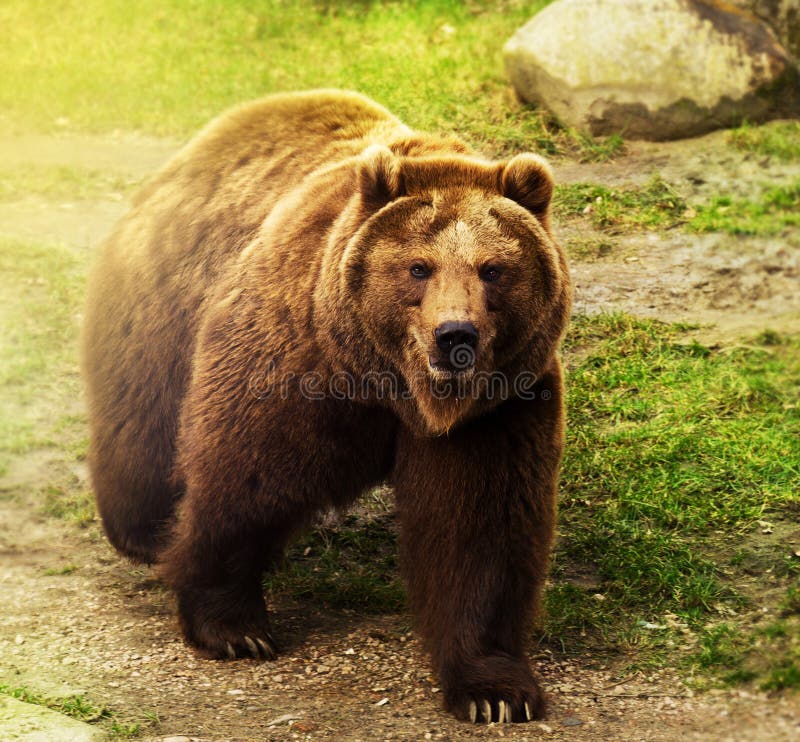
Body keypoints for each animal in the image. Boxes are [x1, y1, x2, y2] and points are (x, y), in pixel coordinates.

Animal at [81, 90, 571, 724]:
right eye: (418, 266)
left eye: (493, 269)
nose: (455, 335)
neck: (394, 388)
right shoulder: (297, 364)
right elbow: (245, 481)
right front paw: (234, 627)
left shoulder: (497, 408)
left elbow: (478, 531)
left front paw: (495, 691)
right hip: (162, 306)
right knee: (141, 422)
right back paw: (142, 531)